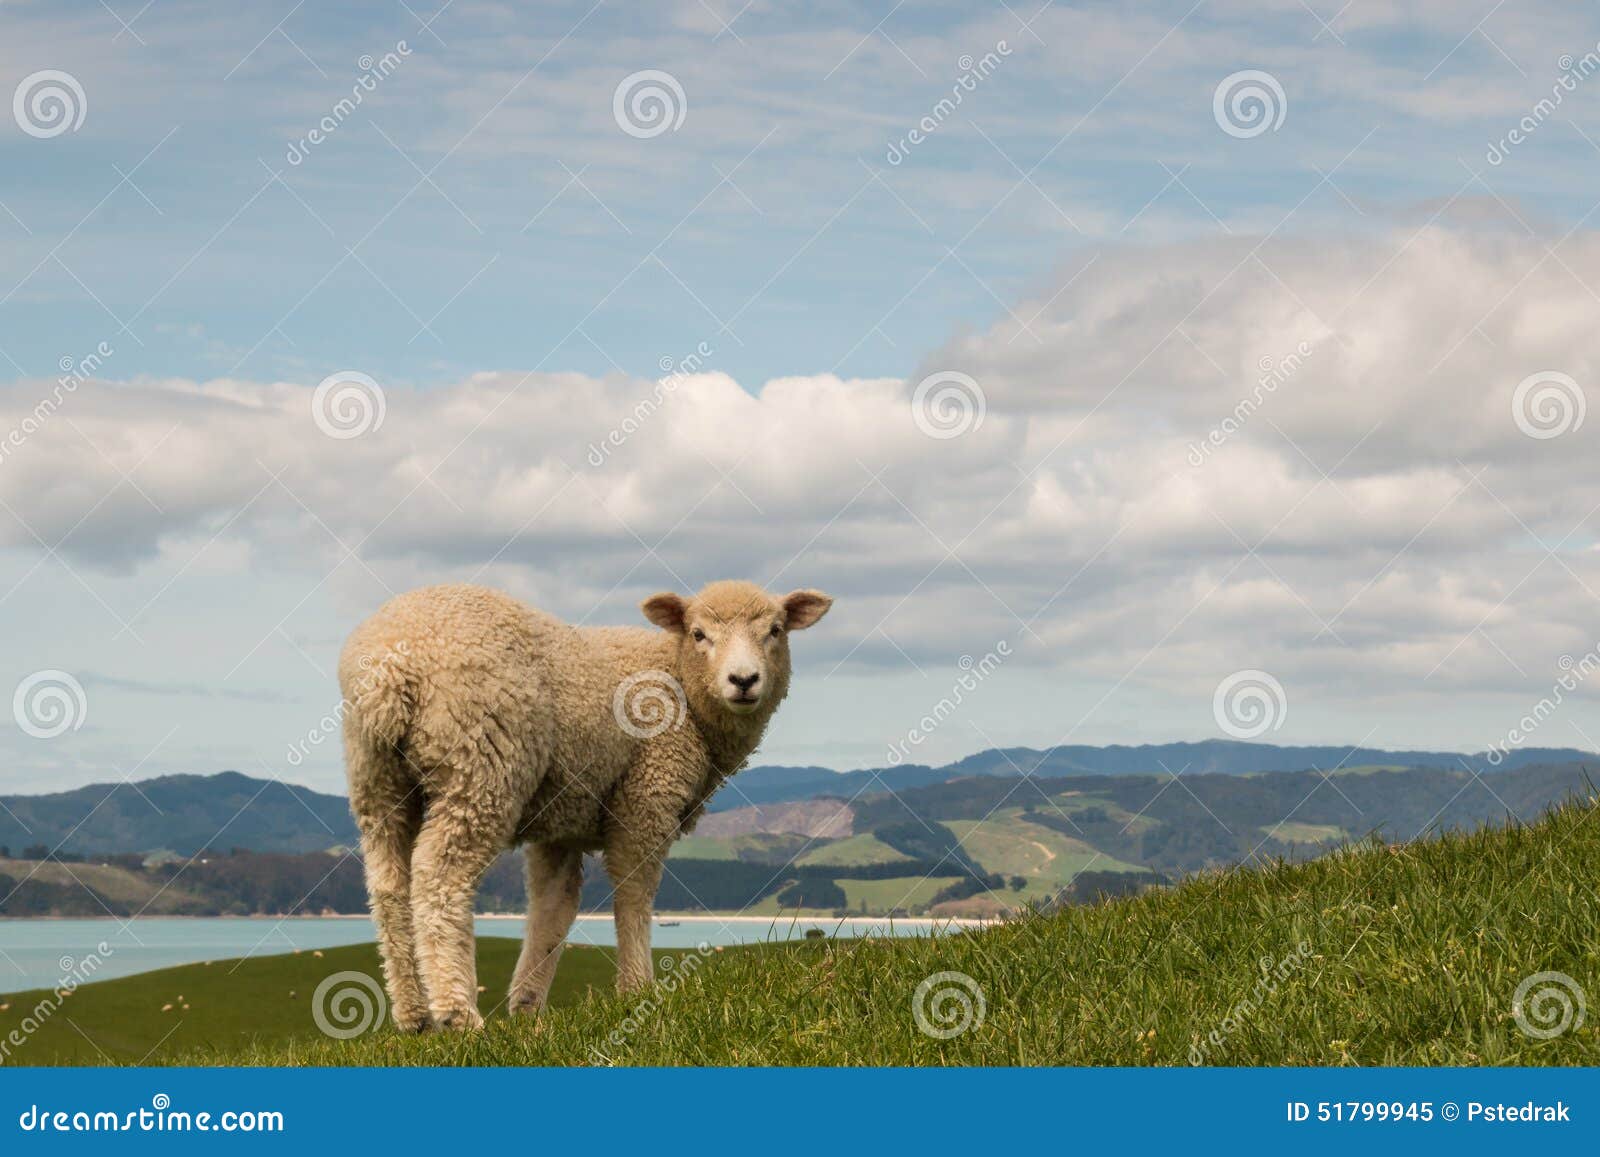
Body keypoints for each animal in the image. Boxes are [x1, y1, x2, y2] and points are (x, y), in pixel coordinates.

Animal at [339, 579, 833, 1031]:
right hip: (481, 765)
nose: (744, 681)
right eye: (698, 634)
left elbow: (552, 910)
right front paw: (637, 991)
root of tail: (390, 668)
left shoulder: (562, 827)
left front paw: (527, 1009)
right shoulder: (647, 796)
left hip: (377, 782)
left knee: (388, 886)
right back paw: (457, 1014)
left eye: (775, 630)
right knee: (439, 878)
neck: (681, 685)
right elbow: (634, 895)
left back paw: (412, 1015)